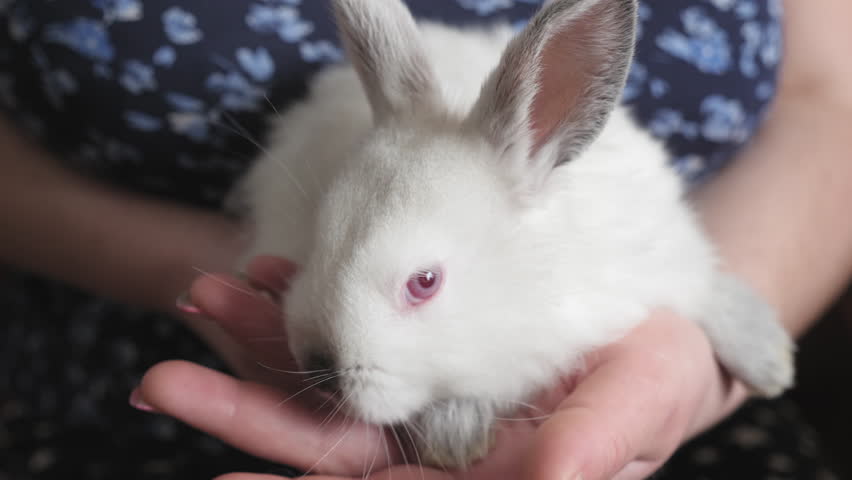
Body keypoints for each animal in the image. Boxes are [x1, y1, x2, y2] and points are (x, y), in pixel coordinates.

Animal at [231, 0, 795, 469]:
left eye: (424, 282)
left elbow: (709, 291)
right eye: (319, 235)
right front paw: (457, 435)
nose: (319, 368)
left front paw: (769, 362)